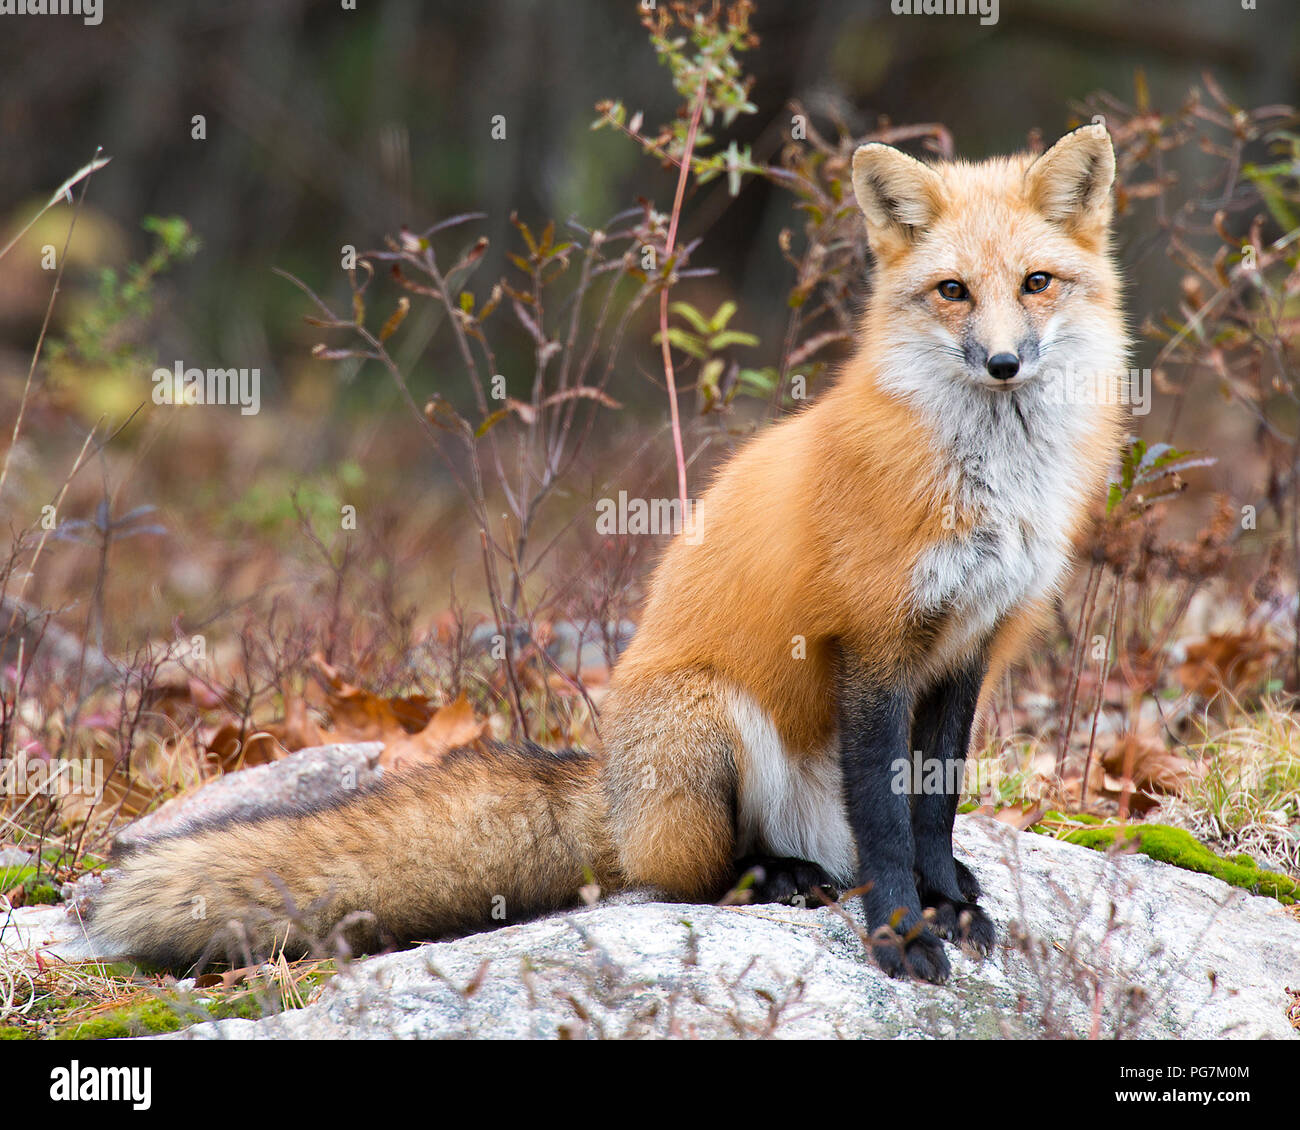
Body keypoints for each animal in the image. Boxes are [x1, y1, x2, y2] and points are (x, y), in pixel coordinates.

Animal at [86, 123, 1123, 977]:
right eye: (953, 291)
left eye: (1035, 283)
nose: (1004, 363)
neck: (993, 484)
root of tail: (613, 792)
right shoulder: (872, 646)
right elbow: (885, 821)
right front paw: (902, 934)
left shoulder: (969, 647)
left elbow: (930, 809)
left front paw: (947, 903)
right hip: (705, 723)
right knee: (693, 875)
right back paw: (777, 875)